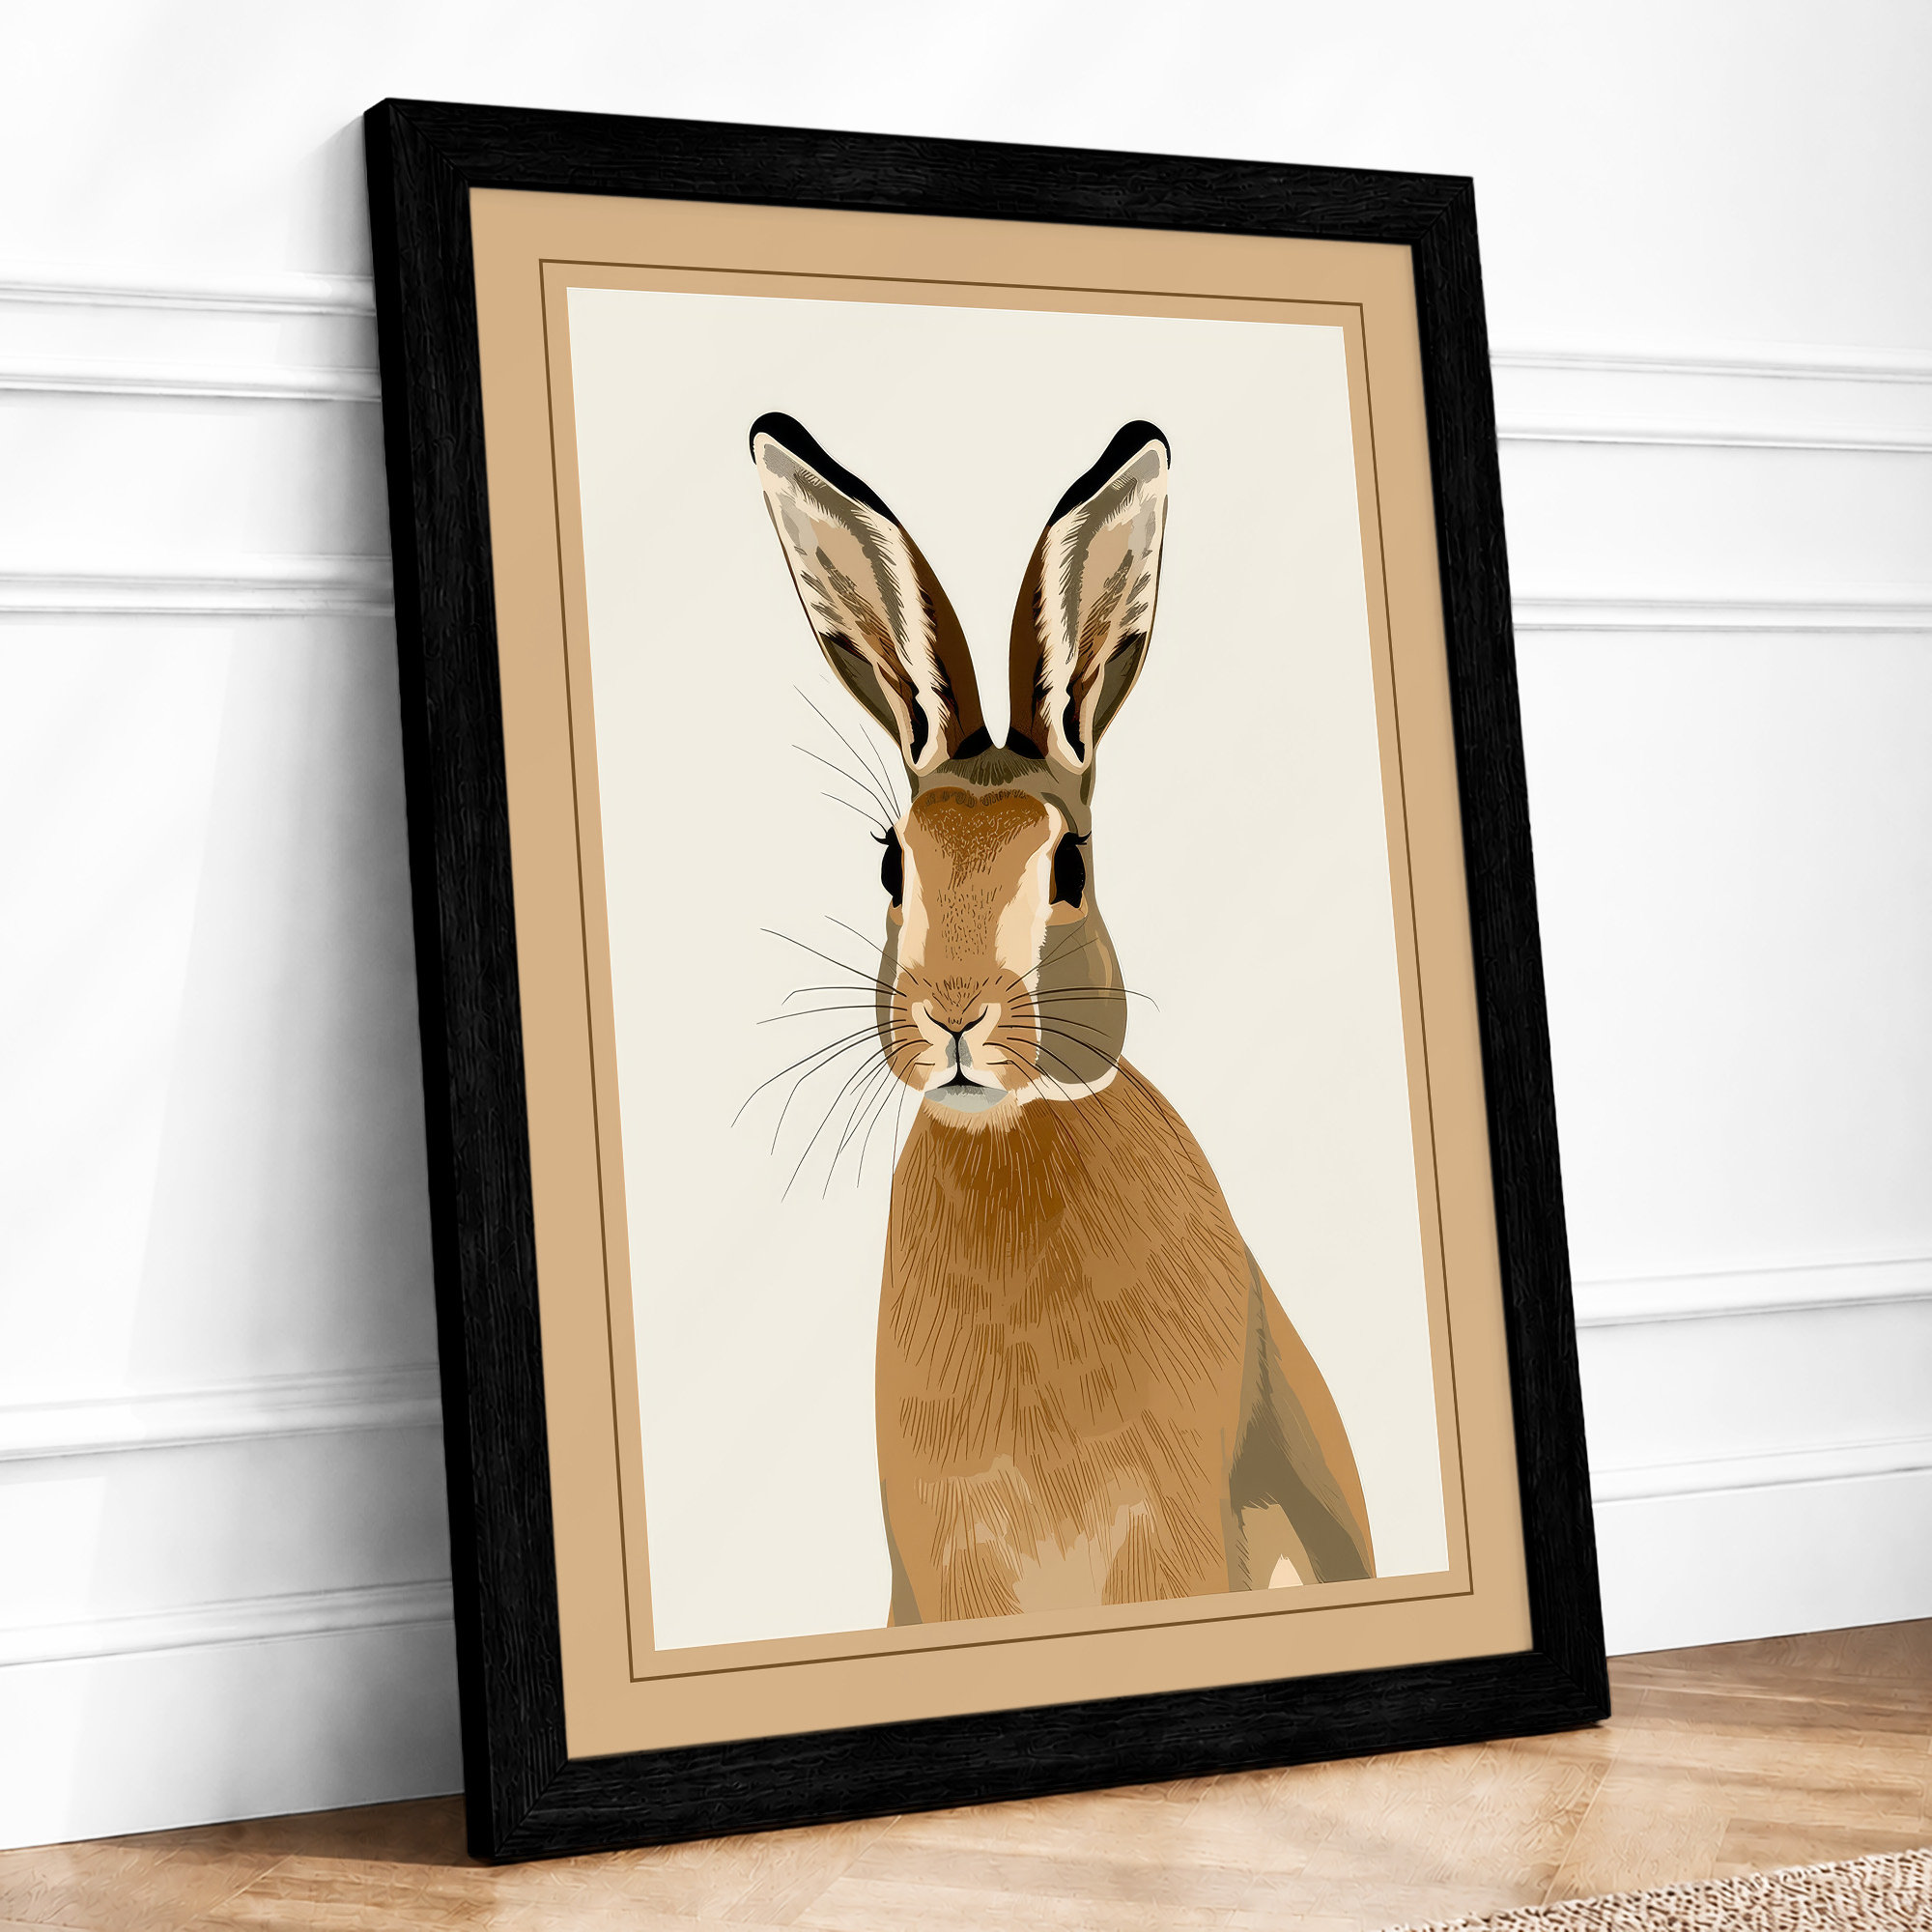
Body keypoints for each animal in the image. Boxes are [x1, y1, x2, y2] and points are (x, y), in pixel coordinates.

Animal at [751, 412, 1375, 1626]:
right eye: (892, 861)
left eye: (1070, 867)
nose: (952, 1013)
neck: (1012, 1131)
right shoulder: (941, 1566)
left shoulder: (1172, 1531)